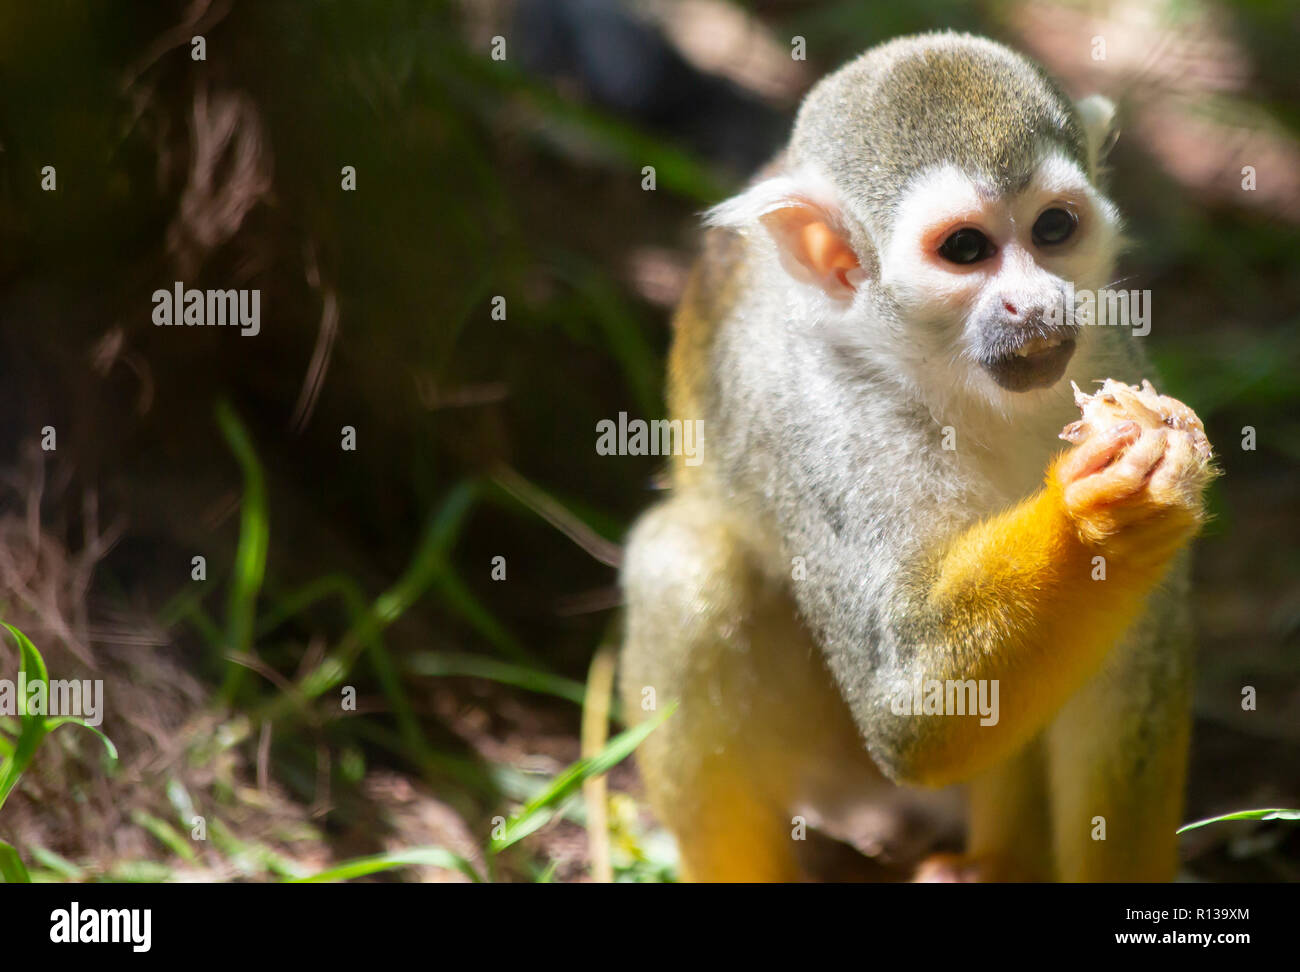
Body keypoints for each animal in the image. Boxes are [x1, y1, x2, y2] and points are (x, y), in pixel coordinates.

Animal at [618, 32, 1218, 882]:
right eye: (965, 249)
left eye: (1054, 229)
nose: (1034, 305)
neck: (950, 380)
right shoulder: (823, 416)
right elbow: (911, 713)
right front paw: (1100, 515)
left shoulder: (1105, 342)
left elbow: (1134, 666)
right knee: (685, 565)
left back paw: (997, 860)